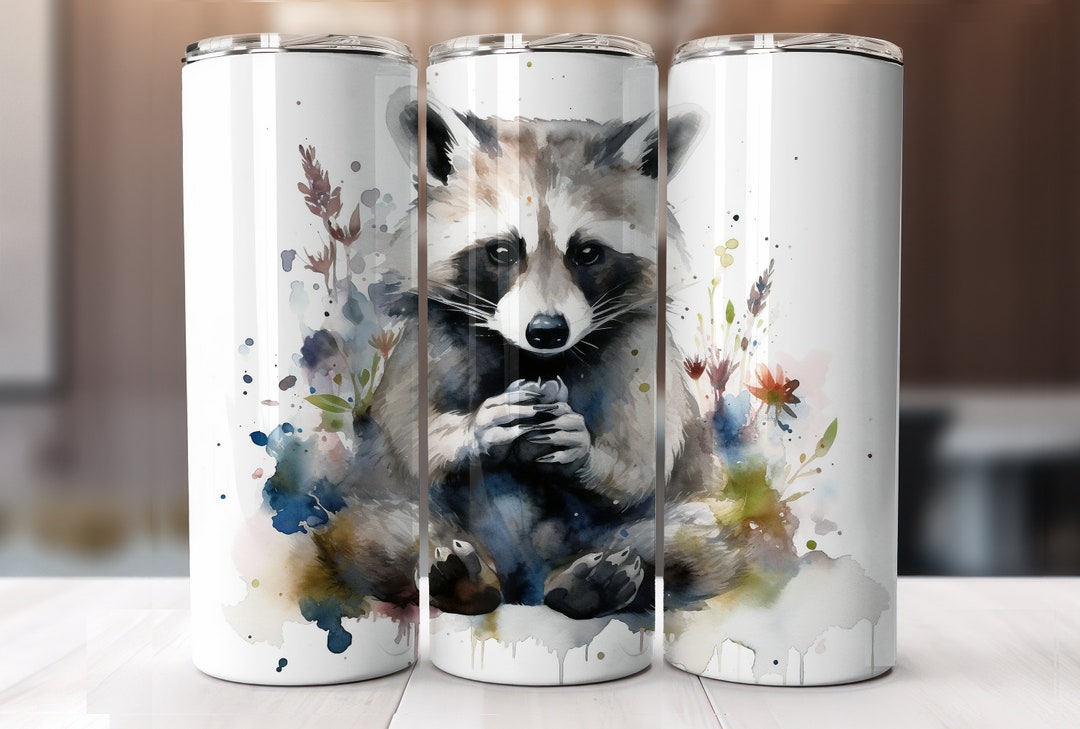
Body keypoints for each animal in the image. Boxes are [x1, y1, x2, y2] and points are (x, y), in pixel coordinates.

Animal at [373, 97, 705, 620]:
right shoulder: (427, 344)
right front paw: (477, 428)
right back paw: (457, 578)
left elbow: (642, 462)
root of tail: (521, 588)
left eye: (587, 253)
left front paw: (584, 449)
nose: (547, 332)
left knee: (695, 532)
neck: (532, 360)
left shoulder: (643, 352)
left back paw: (591, 584)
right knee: (378, 520)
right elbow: (411, 438)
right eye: (501, 251)